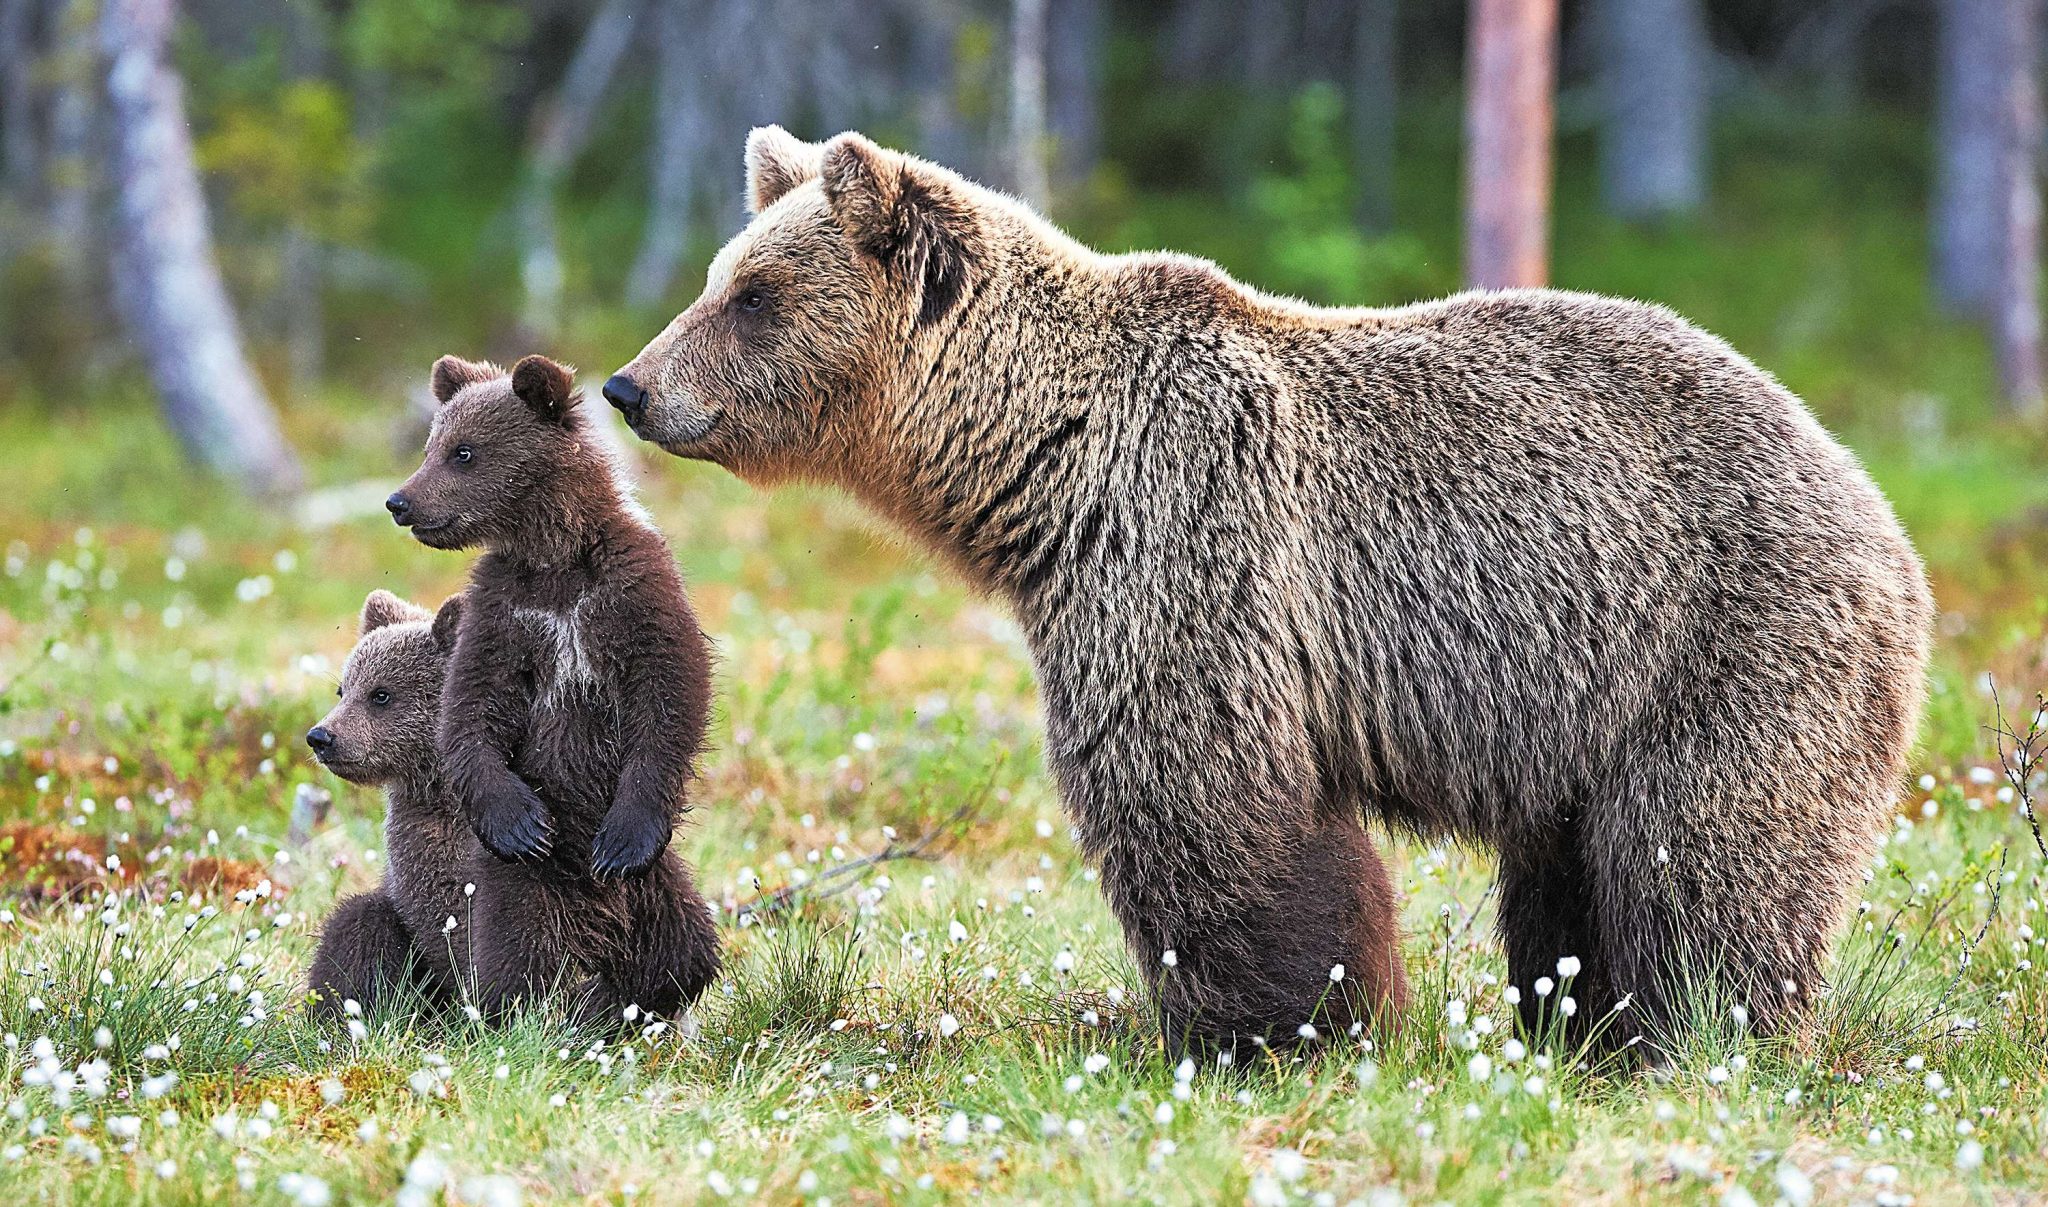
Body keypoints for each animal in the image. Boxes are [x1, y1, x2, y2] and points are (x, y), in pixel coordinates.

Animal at [386, 353, 721, 1023]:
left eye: (463, 452)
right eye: (433, 445)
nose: (399, 501)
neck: (556, 556)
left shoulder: (632, 591)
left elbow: (670, 691)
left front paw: (622, 839)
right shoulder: (503, 613)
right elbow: (471, 707)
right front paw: (520, 822)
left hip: (657, 886)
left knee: (684, 947)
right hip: (529, 886)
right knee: (524, 948)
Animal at [601, 125, 1935, 1061]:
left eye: (753, 296)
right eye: (719, 275)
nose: (629, 386)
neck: (1043, 473)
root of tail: (1880, 512)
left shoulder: (1189, 547)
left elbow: (1201, 797)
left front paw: (1270, 1026)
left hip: (1721, 640)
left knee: (1701, 853)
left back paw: (1698, 1032)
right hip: (1591, 711)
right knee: (1571, 878)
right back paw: (1585, 1030)